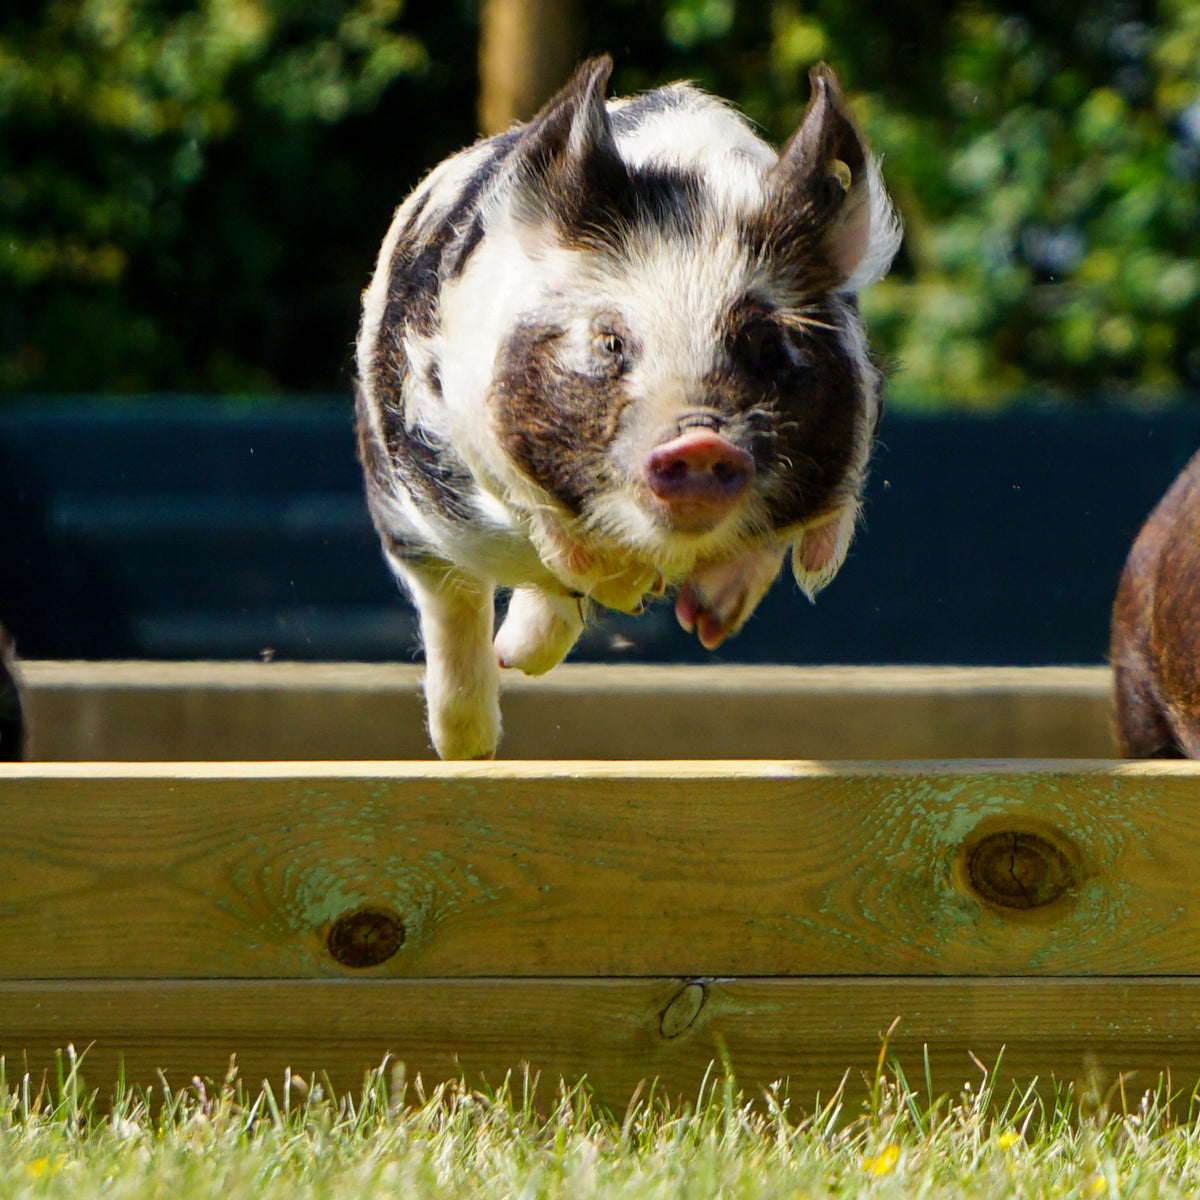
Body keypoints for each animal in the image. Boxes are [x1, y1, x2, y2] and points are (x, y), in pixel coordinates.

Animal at [355, 56, 902, 759]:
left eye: (764, 343)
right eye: (611, 340)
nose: (699, 439)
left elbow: (801, 539)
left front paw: (704, 619)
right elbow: (539, 520)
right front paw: (632, 591)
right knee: (451, 595)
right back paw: (472, 743)